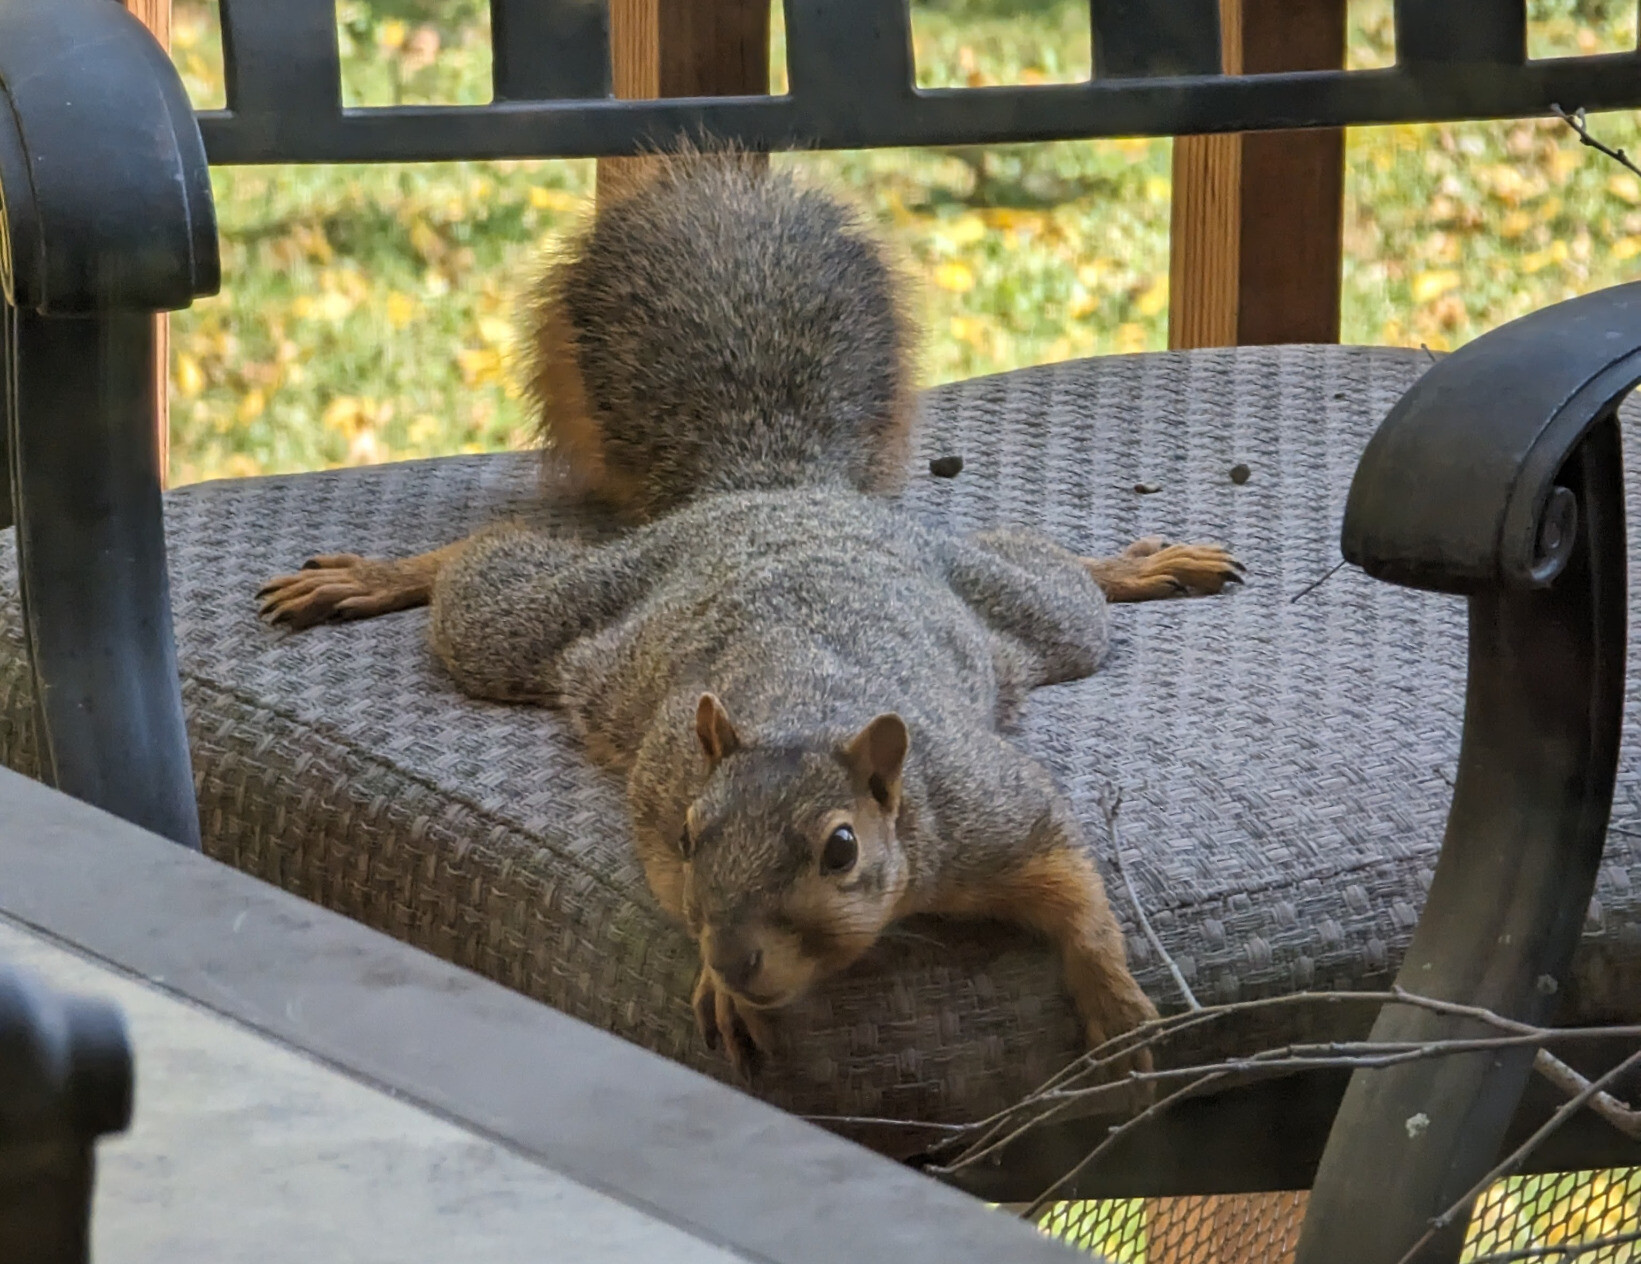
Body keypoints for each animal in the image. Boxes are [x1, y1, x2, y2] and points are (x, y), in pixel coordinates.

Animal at [259, 147, 1240, 1076]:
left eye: (840, 849)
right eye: (692, 834)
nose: (736, 958)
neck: (801, 712)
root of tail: (772, 490)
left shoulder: (988, 807)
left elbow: (1076, 887)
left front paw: (1117, 1005)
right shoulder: (660, 797)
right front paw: (718, 988)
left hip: (1036, 615)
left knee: (1059, 580)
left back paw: (1132, 566)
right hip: (535, 621)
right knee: (480, 565)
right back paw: (382, 575)